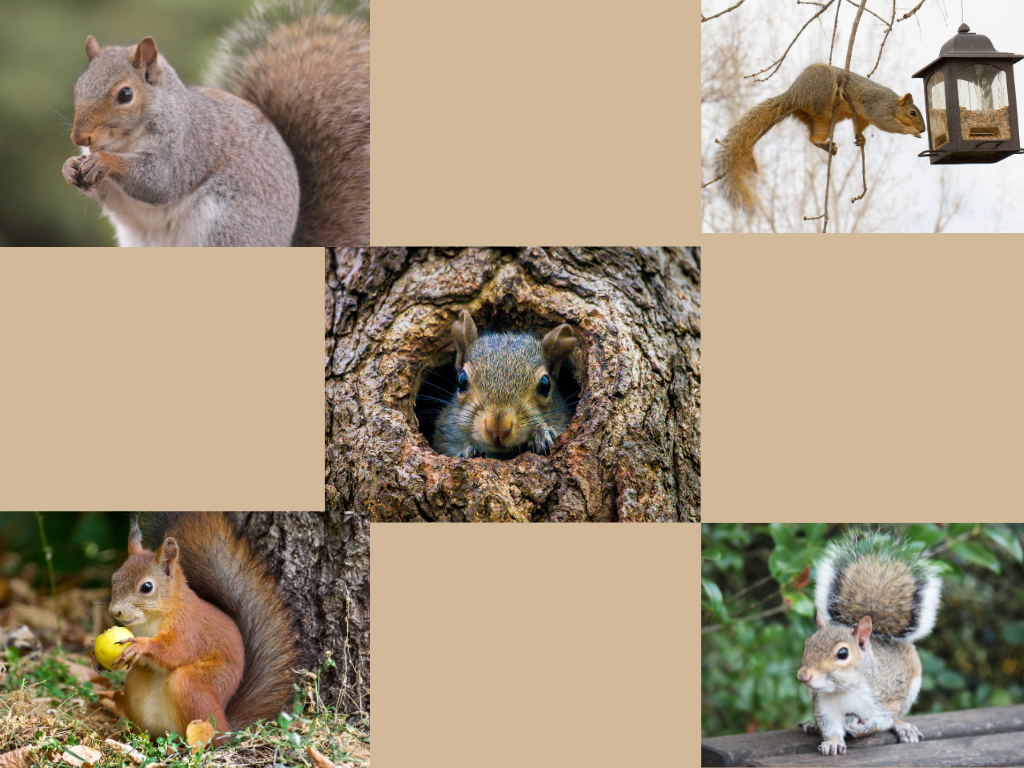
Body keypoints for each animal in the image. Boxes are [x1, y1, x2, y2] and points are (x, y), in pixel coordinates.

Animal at [62, 1, 369, 247]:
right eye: (77, 88)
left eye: (125, 94)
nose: (79, 138)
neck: (123, 142)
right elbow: (109, 197)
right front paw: (69, 167)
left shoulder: (187, 146)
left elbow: (161, 181)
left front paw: (106, 162)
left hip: (227, 227)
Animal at [96, 512, 297, 746]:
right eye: (114, 578)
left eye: (146, 587)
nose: (115, 611)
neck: (151, 620)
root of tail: (227, 729)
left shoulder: (188, 628)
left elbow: (177, 652)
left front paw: (141, 645)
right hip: (136, 685)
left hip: (191, 687)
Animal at [714, 63, 926, 211]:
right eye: (913, 112)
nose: (923, 129)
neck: (892, 103)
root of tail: (794, 94)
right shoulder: (878, 109)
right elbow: (888, 124)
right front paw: (912, 132)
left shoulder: (862, 117)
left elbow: (858, 127)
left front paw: (861, 139)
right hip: (822, 85)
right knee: (820, 102)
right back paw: (837, 94)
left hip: (822, 121)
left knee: (813, 137)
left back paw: (825, 145)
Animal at [796, 530, 942, 757]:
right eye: (806, 644)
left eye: (843, 653)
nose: (803, 675)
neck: (845, 691)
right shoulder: (824, 707)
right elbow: (830, 727)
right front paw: (833, 743)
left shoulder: (890, 698)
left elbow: (882, 721)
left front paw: (860, 727)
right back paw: (812, 726)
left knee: (895, 718)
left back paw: (903, 727)